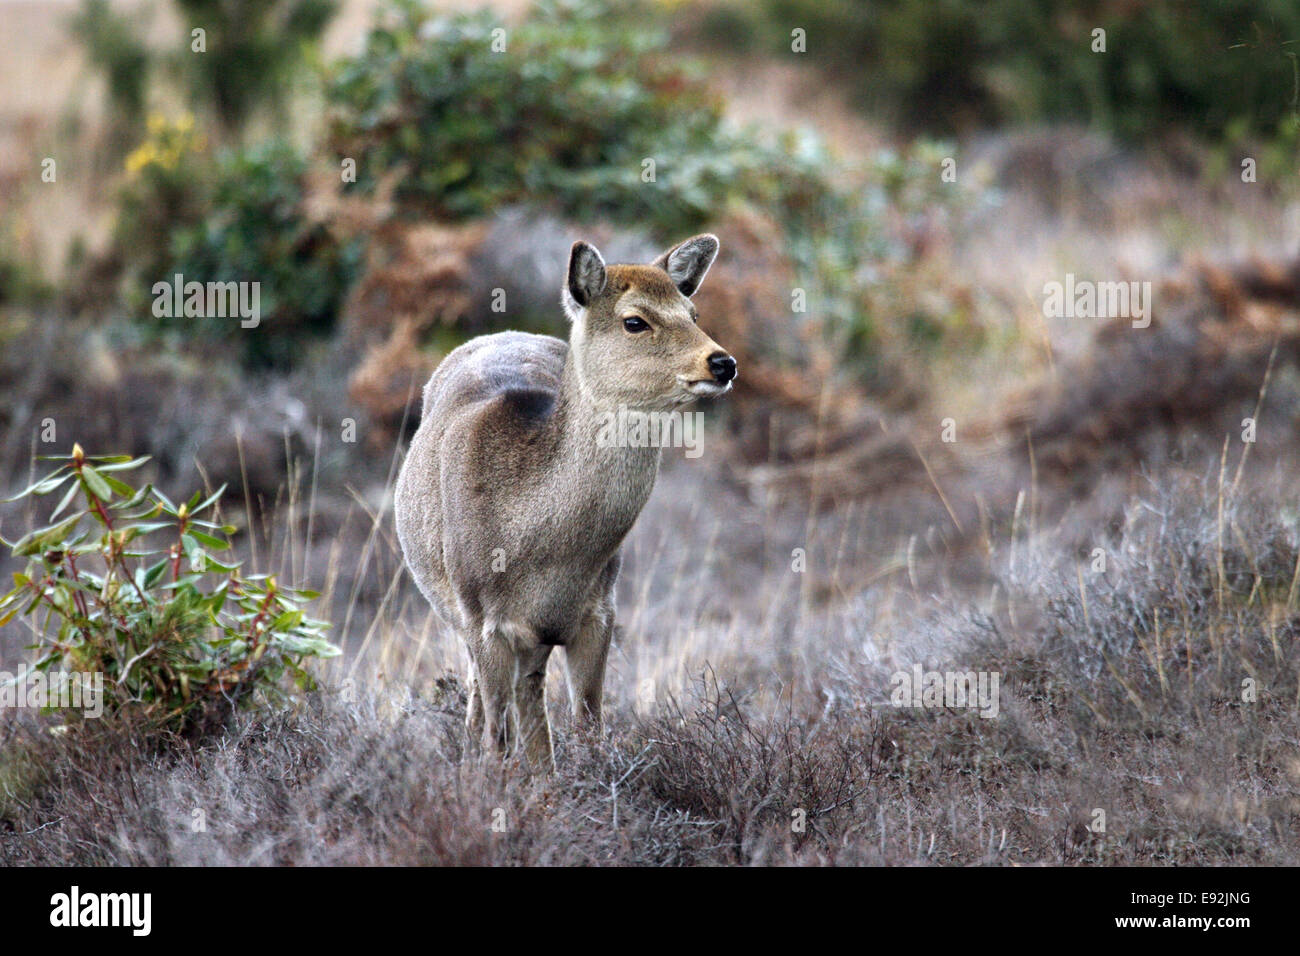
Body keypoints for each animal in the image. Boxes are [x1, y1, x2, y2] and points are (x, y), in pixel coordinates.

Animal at [393, 234, 735, 769]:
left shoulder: (600, 611)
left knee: (532, 709)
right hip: (456, 614)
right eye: (634, 320)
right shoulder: (482, 618)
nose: (722, 362)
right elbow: (496, 739)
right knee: (484, 711)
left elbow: (589, 726)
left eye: (692, 312)